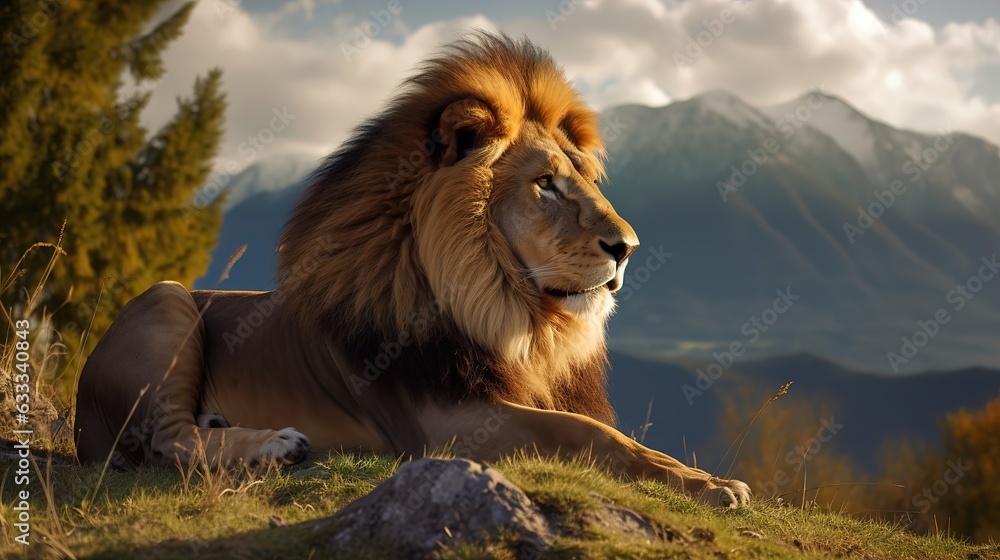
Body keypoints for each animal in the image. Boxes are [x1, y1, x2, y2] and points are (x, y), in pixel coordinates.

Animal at [74, 32, 750, 507]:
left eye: (585, 178)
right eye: (546, 184)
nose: (628, 247)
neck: (515, 316)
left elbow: (620, 437)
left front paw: (705, 478)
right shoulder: (446, 424)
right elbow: (591, 435)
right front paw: (714, 487)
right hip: (165, 299)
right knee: (168, 440)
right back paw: (278, 445)